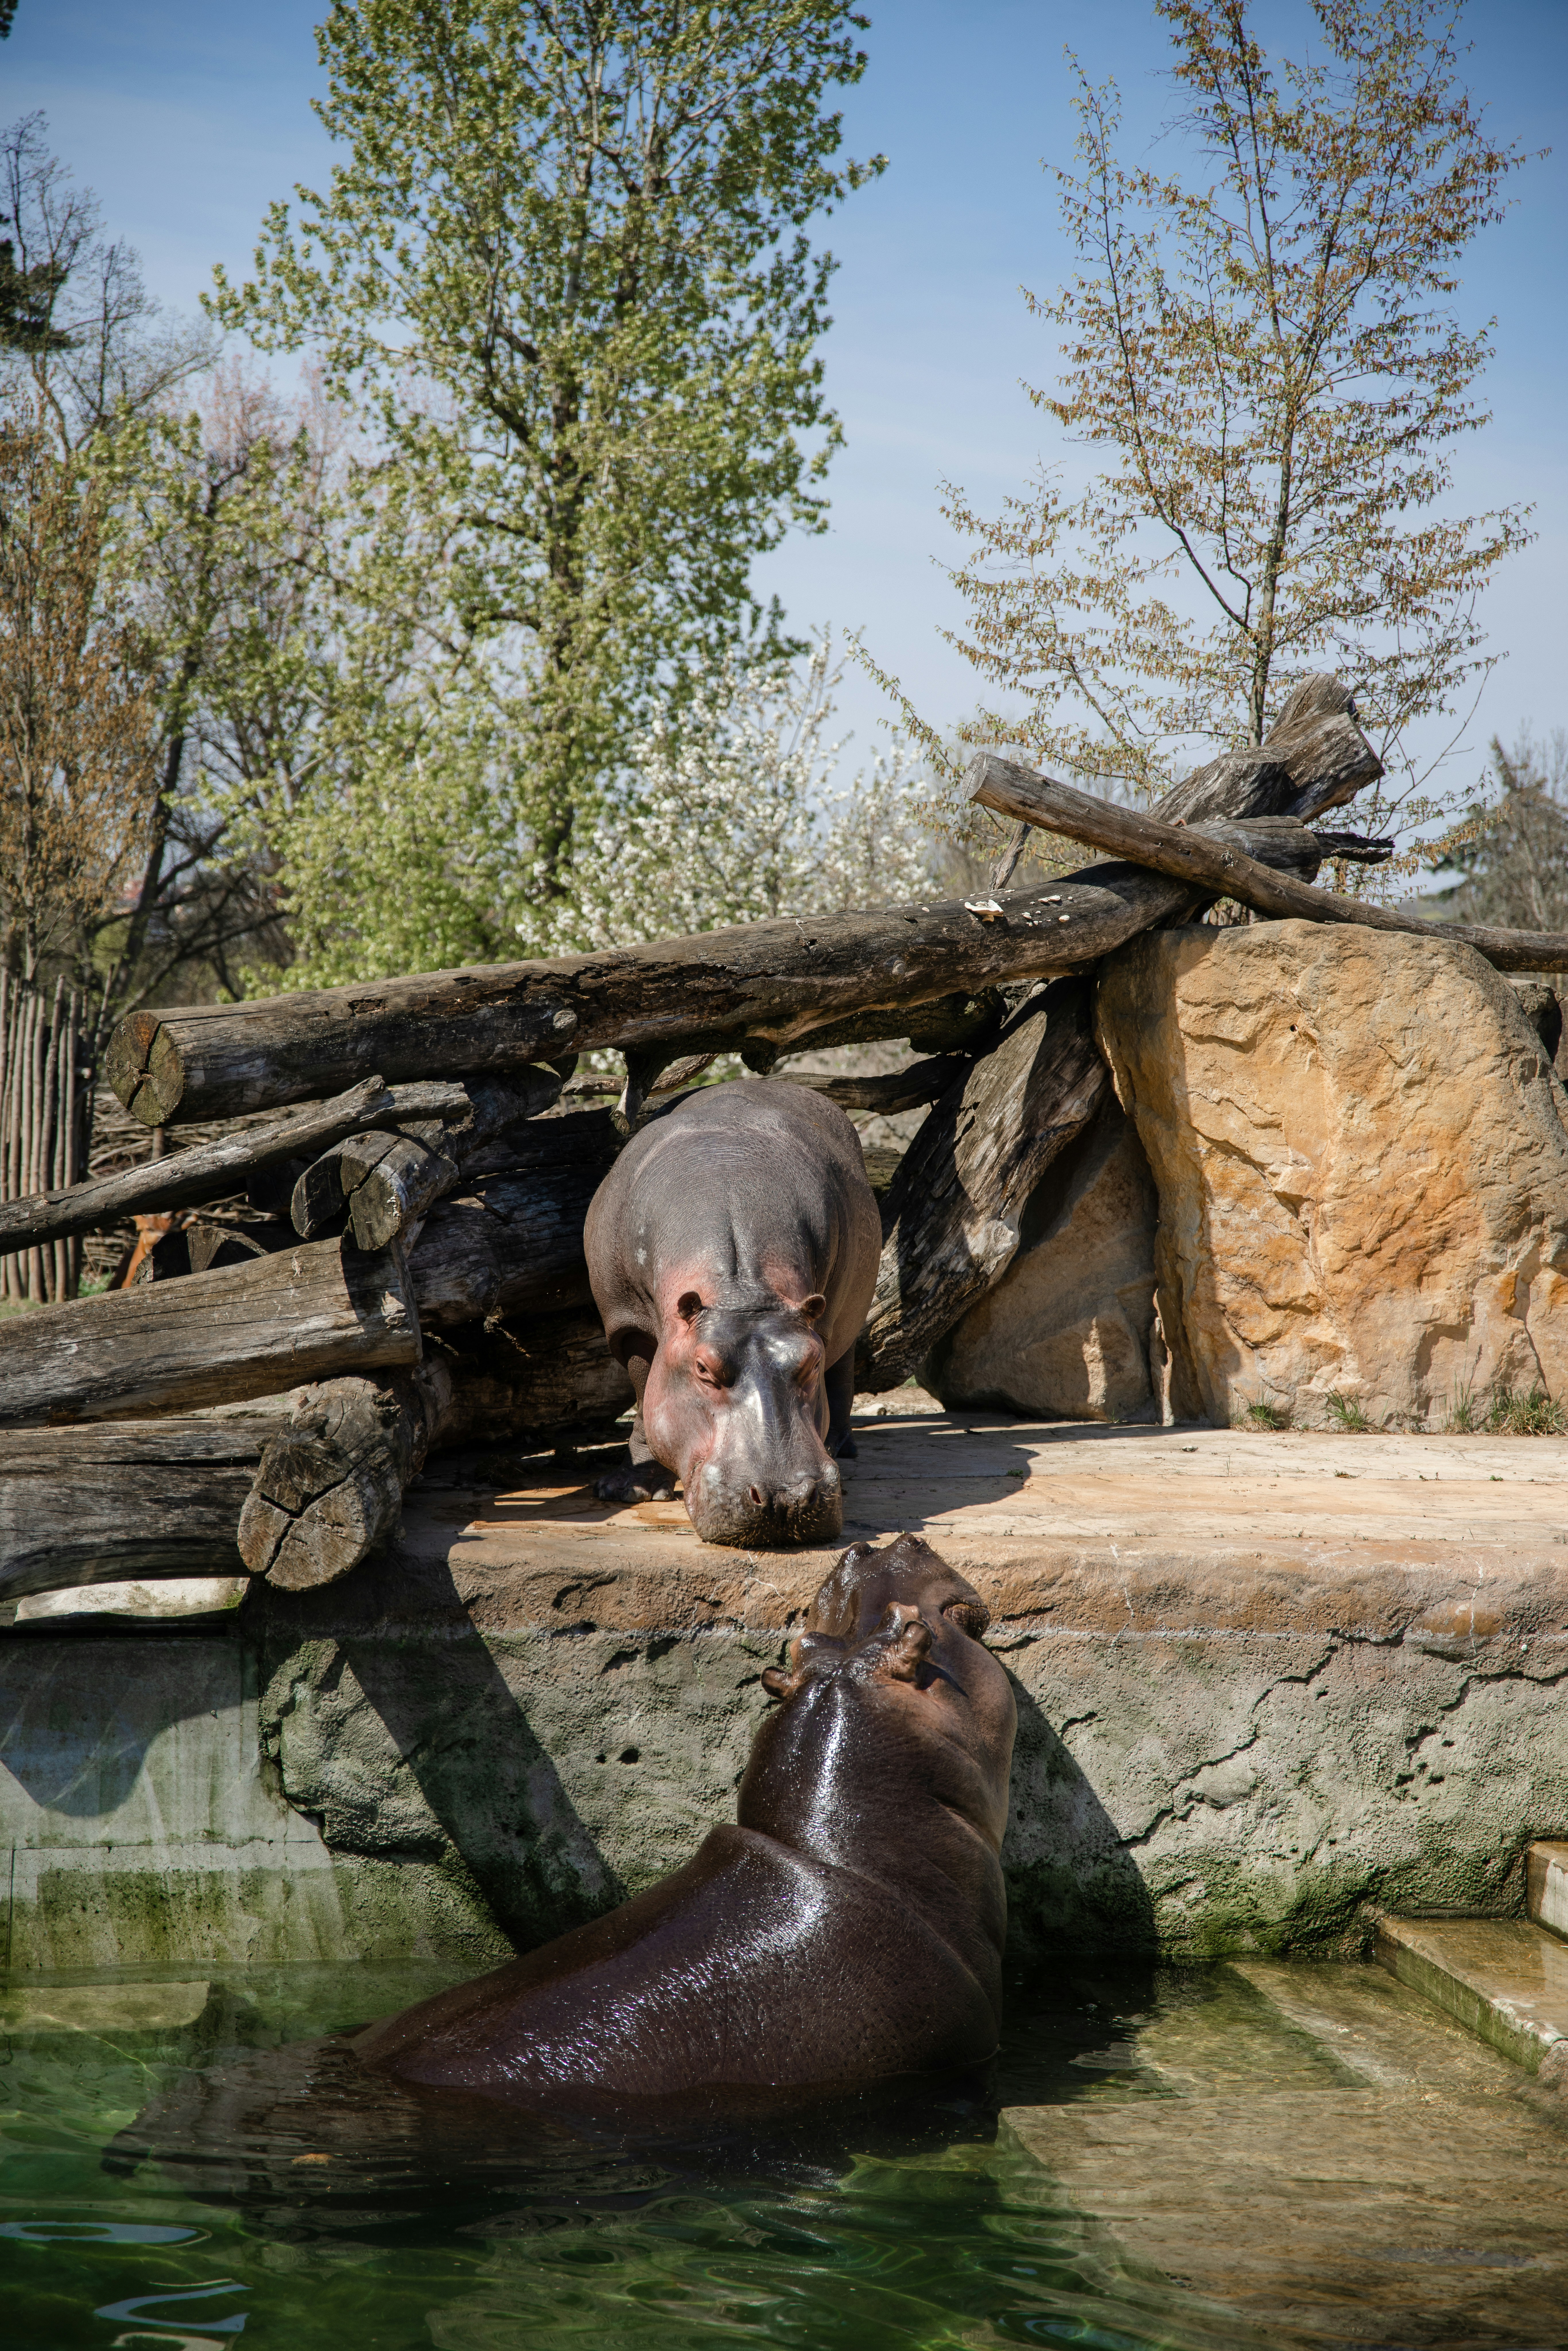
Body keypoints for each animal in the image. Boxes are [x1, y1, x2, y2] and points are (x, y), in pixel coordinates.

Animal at [584, 1078, 882, 1547]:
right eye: (703, 1369)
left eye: (810, 1362)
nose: (785, 1498)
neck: (741, 1292)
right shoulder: (628, 1324)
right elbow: (644, 1391)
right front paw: (631, 1489)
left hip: (846, 1313)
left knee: (845, 1368)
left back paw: (840, 1445)